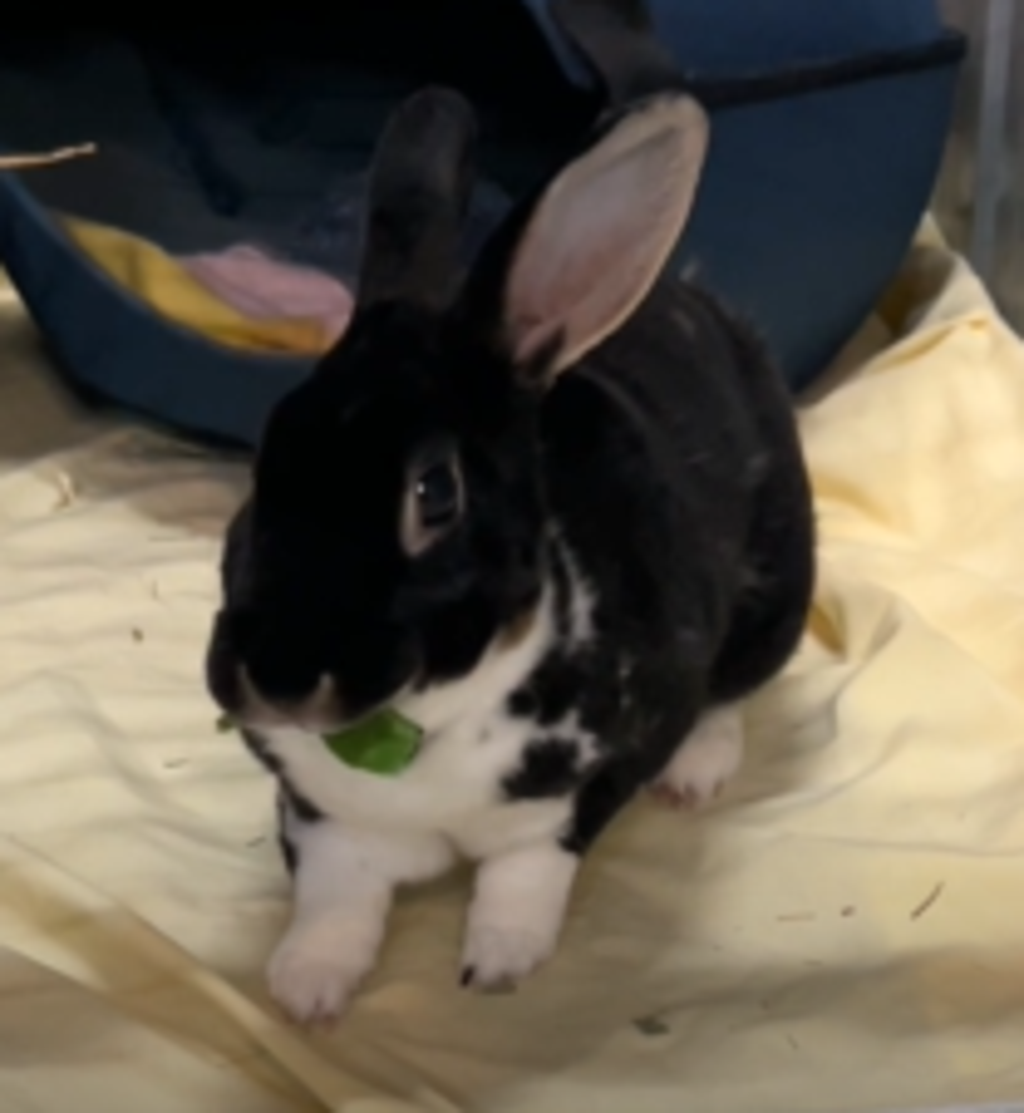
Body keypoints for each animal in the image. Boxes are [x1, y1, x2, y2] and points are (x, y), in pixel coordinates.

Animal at [205, 1, 814, 1027]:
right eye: (263, 460)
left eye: (434, 493)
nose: (281, 680)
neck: (418, 732)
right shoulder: (321, 819)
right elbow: (334, 897)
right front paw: (306, 987)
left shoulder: (584, 786)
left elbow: (528, 870)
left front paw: (498, 962)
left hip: (778, 588)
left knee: (736, 690)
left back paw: (696, 773)